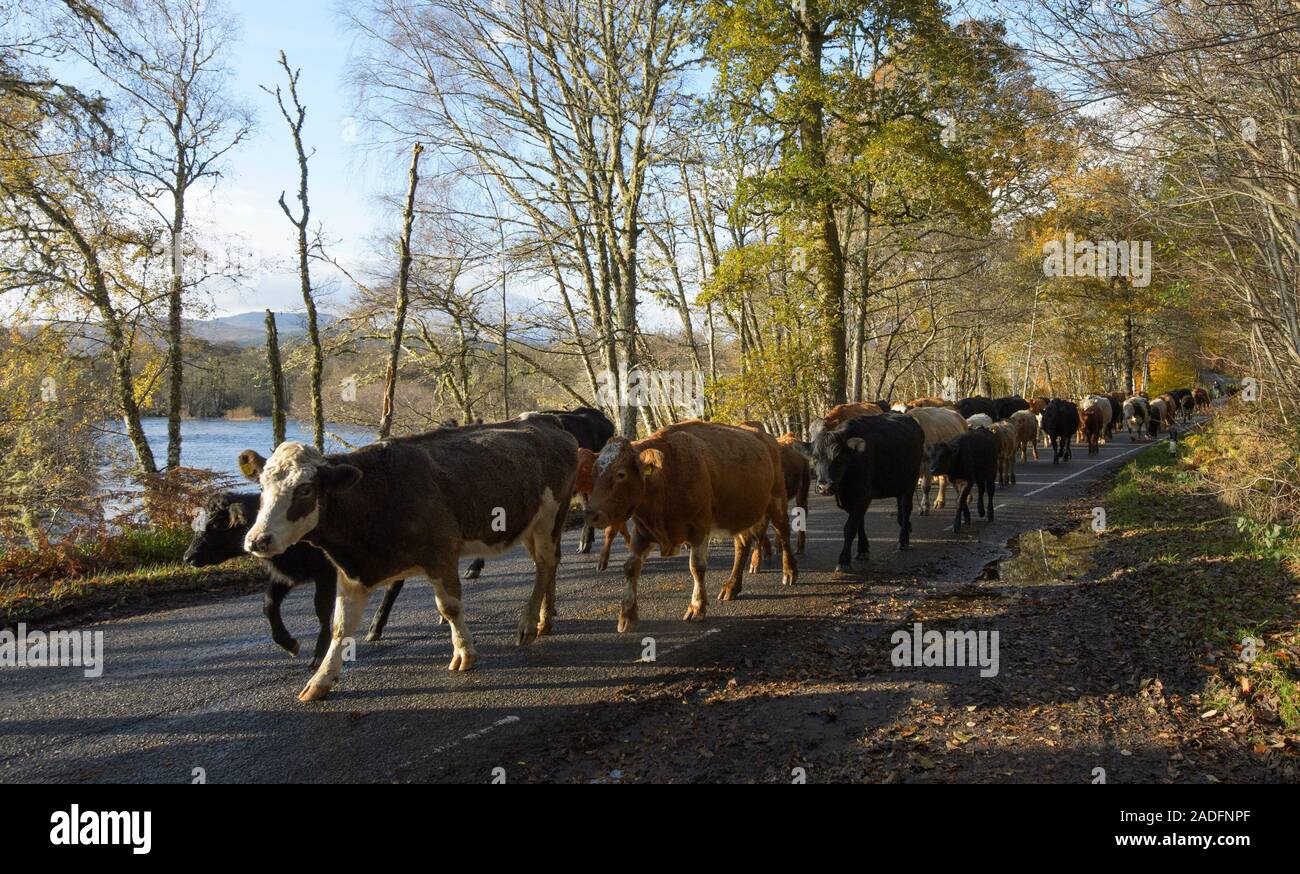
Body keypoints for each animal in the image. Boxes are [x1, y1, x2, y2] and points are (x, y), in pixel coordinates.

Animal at [182, 491, 406, 668]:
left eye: (216, 524)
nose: (188, 557)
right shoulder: (286, 576)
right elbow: (269, 604)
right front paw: (289, 644)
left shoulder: (325, 573)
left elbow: (322, 608)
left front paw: (319, 655)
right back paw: (375, 629)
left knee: (393, 587)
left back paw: (375, 627)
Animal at [239, 417, 579, 702]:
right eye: (262, 487)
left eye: (306, 489)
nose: (257, 540)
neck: (374, 495)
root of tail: (545, 420)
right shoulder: (351, 573)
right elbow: (340, 627)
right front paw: (320, 681)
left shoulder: (441, 554)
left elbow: (450, 607)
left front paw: (464, 653)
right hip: (530, 526)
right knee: (548, 564)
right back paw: (545, 618)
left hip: (549, 517)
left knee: (545, 565)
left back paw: (528, 623)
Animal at [583, 420, 796, 633]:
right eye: (594, 474)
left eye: (621, 474)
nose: (591, 514)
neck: (665, 477)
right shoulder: (643, 531)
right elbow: (630, 567)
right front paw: (627, 616)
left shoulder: (699, 528)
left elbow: (697, 567)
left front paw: (697, 607)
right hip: (739, 513)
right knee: (742, 545)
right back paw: (731, 587)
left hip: (777, 499)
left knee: (784, 532)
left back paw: (789, 572)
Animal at [802, 413, 923, 573]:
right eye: (815, 458)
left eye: (839, 458)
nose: (824, 487)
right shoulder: (848, 499)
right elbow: (859, 522)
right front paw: (863, 549)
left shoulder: (863, 495)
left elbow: (850, 527)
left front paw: (844, 560)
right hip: (898, 484)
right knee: (901, 512)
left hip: (911, 483)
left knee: (907, 508)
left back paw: (903, 541)